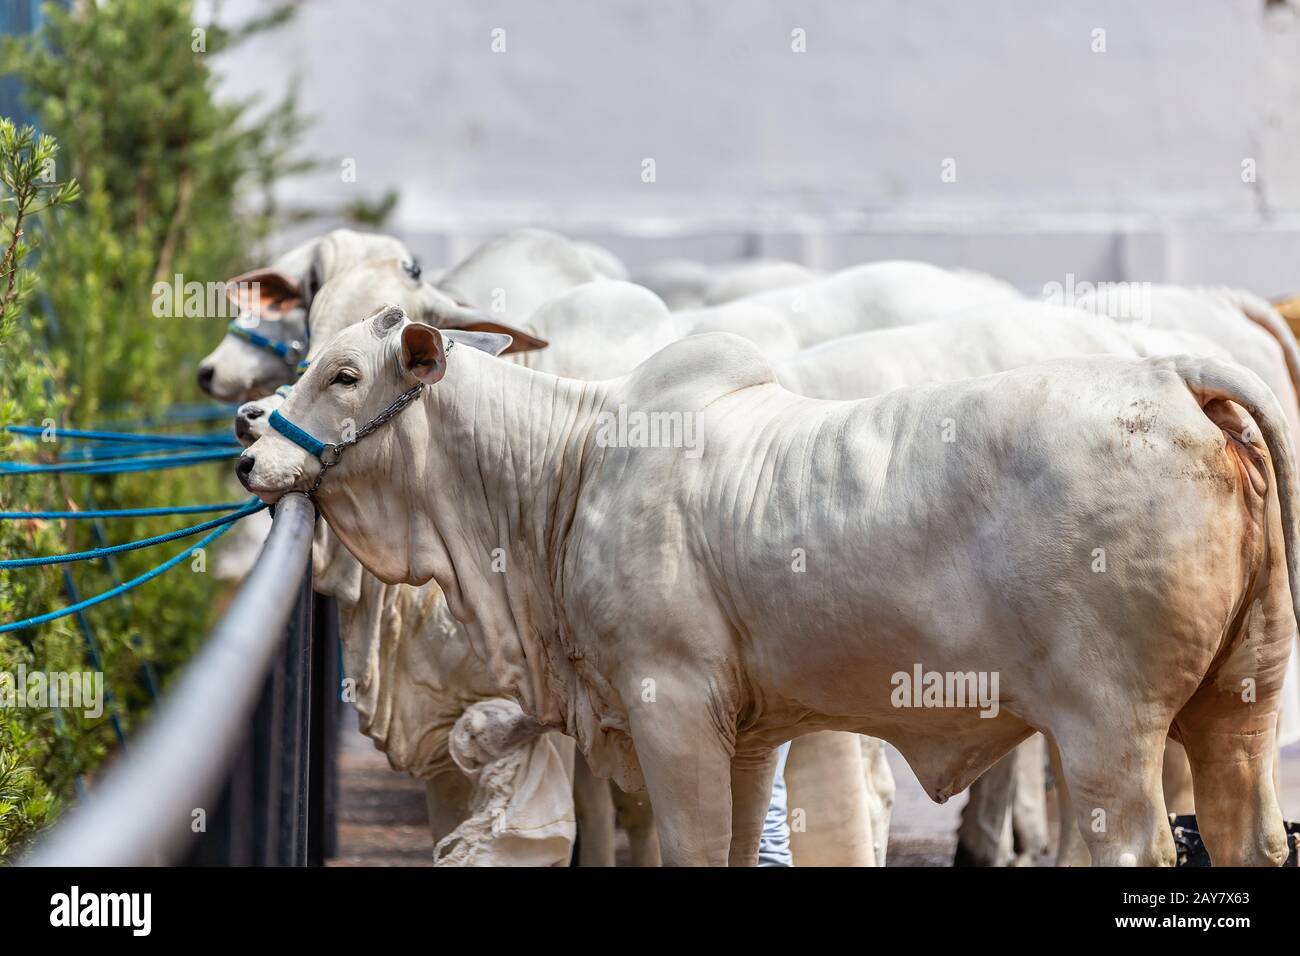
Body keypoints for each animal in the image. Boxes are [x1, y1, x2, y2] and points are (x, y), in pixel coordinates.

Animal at [239, 307, 1298, 866]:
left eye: (343, 374)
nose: (249, 448)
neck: (566, 475)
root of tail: (1174, 380)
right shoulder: (747, 734)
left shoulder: (669, 708)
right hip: (1236, 708)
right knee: (1249, 834)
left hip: (1109, 730)